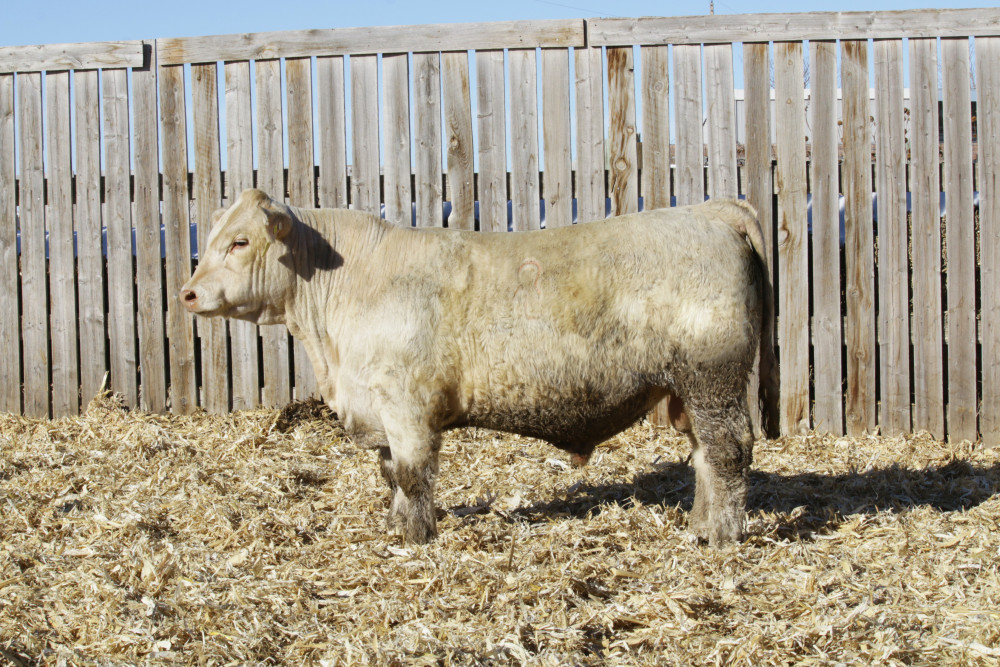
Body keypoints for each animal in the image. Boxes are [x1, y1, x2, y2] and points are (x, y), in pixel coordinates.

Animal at [180, 189, 780, 546]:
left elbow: (413, 474)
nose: (187, 292)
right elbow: (390, 474)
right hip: (692, 391)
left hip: (713, 377)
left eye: (240, 242)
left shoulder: (407, 406)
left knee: (728, 452)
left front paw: (415, 537)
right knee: (704, 456)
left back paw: (722, 536)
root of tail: (711, 209)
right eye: (210, 239)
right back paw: (699, 526)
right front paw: (396, 525)